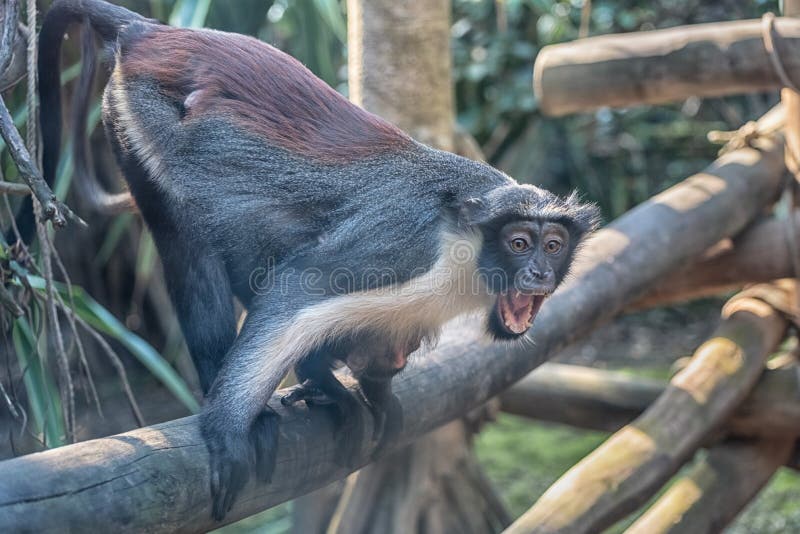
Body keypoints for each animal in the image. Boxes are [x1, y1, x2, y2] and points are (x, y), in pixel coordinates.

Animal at [38, 0, 600, 521]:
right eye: (520, 243)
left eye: (553, 246)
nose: (539, 274)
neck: (468, 248)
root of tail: (151, 32)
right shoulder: (402, 247)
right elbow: (298, 286)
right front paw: (228, 428)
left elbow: (380, 353)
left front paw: (374, 393)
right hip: (144, 121)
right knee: (188, 242)